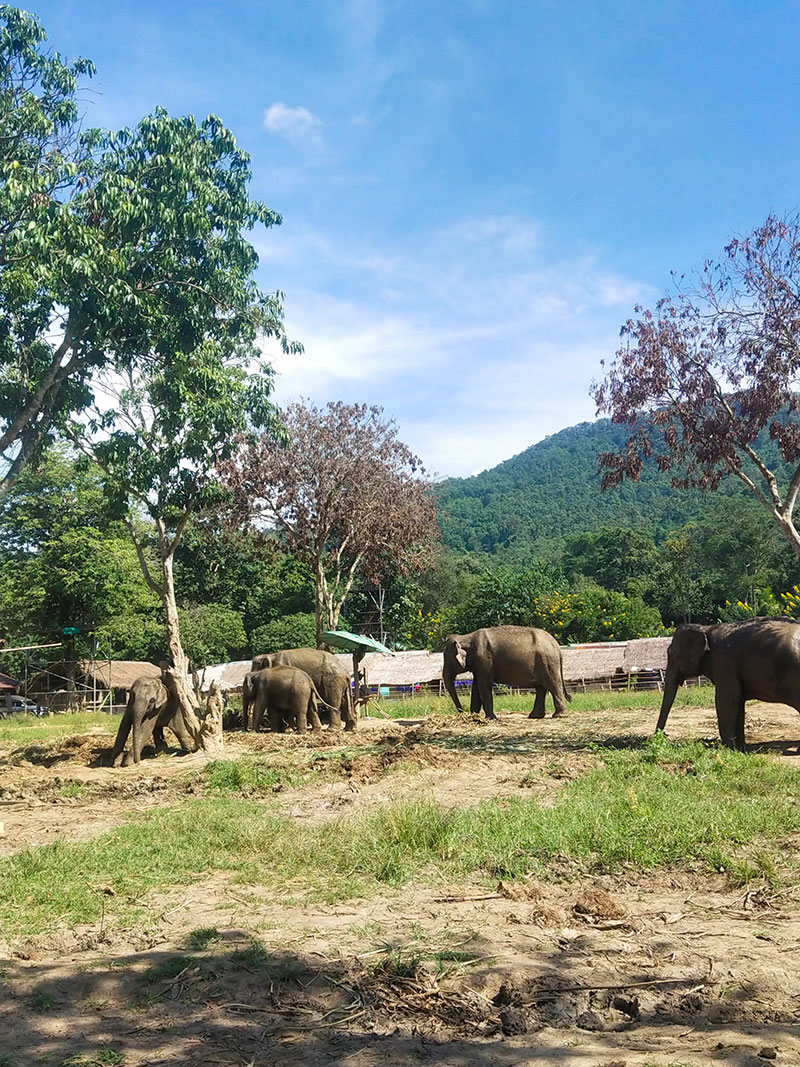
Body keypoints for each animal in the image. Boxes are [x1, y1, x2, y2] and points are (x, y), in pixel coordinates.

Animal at [656, 618, 800, 750]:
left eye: (671, 653)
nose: (663, 737)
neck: (706, 628)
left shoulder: (724, 662)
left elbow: (725, 700)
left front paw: (730, 748)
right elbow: (738, 703)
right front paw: (741, 748)